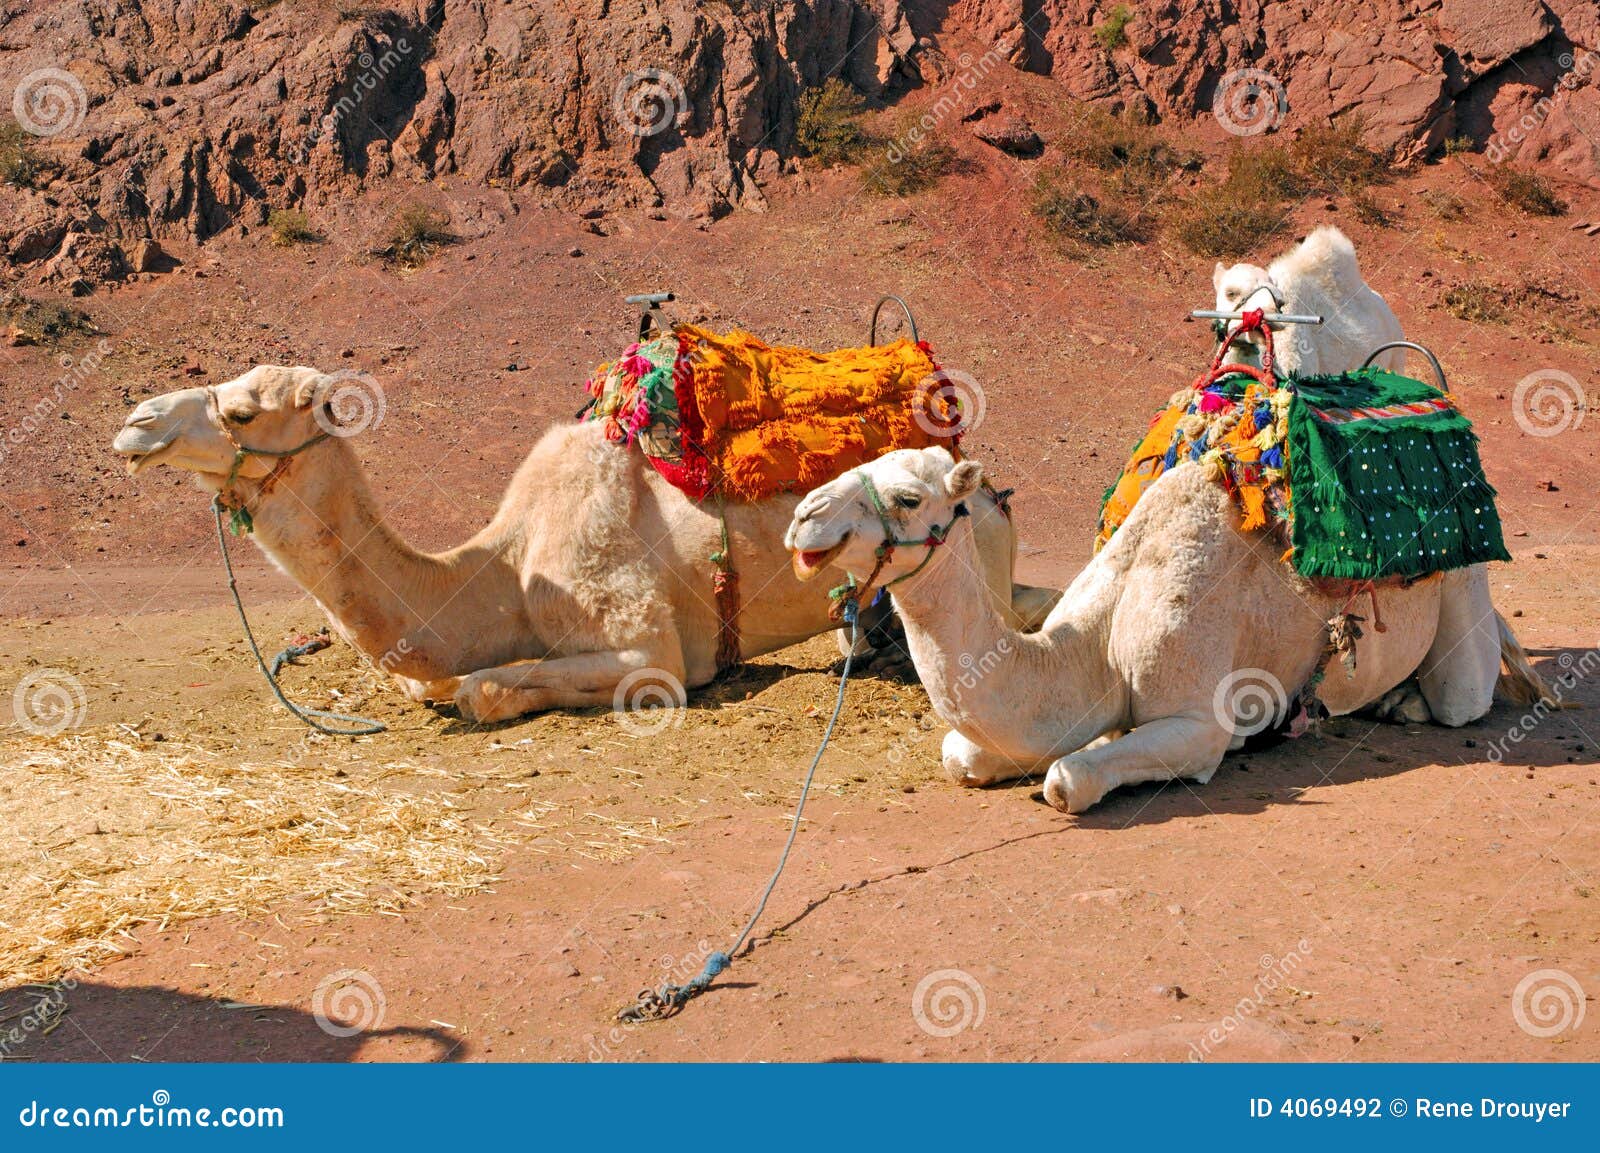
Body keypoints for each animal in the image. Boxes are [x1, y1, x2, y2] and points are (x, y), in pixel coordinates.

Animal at [112, 365, 1051, 723]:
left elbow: (482, 690)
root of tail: (981, 483)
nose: (136, 423)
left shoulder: (650, 651)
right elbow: (437, 682)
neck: (507, 566)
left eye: (243, 410)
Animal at [785, 447, 1553, 813]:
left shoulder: (1198, 722)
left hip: (1466, 579)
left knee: (1462, 696)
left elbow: (1067, 778)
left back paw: (1409, 704)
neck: (1097, 643)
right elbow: (961, 754)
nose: (802, 517)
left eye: (907, 498)